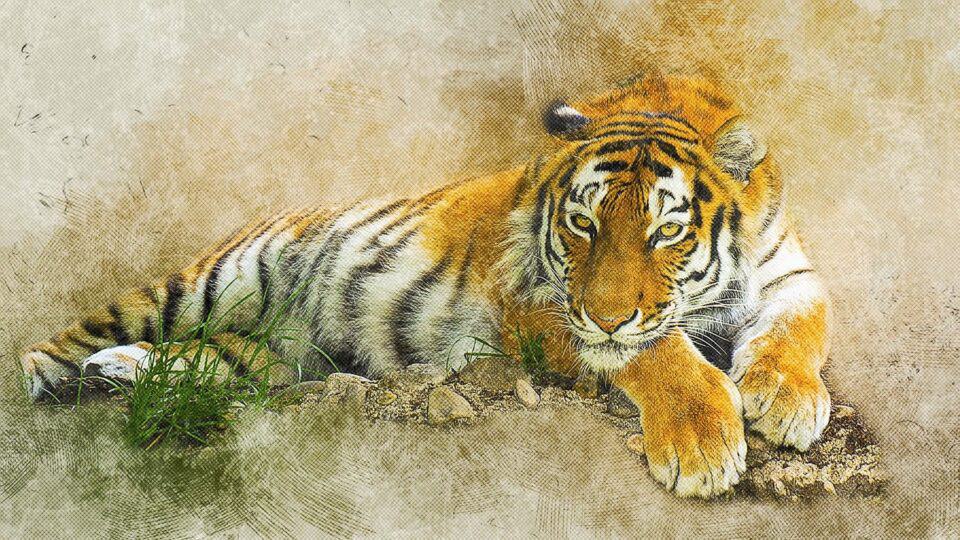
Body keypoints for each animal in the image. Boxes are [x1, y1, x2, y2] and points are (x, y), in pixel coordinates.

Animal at [19, 74, 831, 498]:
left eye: (667, 232)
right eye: (582, 224)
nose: (604, 316)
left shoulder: (790, 273)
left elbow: (802, 326)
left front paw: (787, 400)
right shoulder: (542, 306)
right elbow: (656, 351)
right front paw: (703, 445)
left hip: (274, 355)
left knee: (216, 365)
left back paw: (119, 373)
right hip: (208, 283)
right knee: (64, 340)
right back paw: (59, 381)